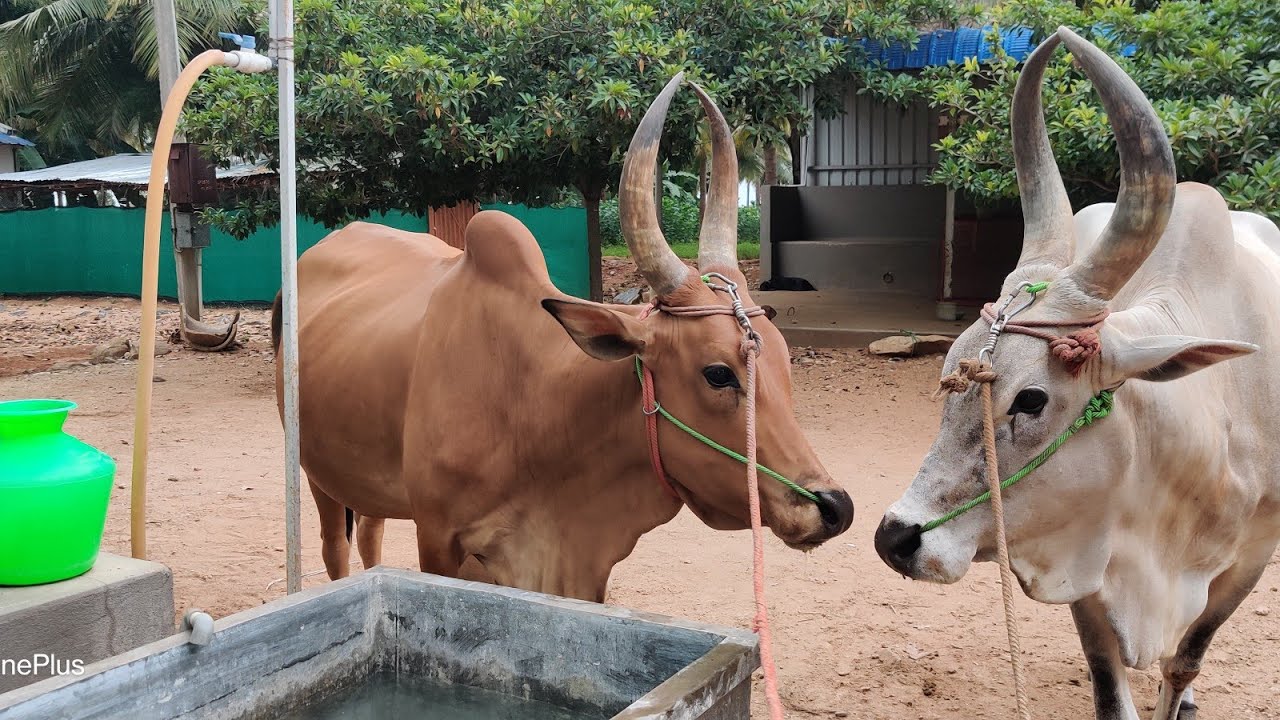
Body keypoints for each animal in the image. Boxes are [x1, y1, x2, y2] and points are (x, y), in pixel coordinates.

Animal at [272, 73, 854, 603]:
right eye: (717, 373)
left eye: (783, 363)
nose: (833, 507)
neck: (536, 408)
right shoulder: (438, 539)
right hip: (316, 472)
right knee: (336, 550)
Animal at [873, 28, 1280, 720]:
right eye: (950, 377)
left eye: (1032, 399)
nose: (897, 539)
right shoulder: (1082, 550)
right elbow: (1106, 681)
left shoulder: (1253, 555)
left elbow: (1185, 658)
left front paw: (1181, 691)